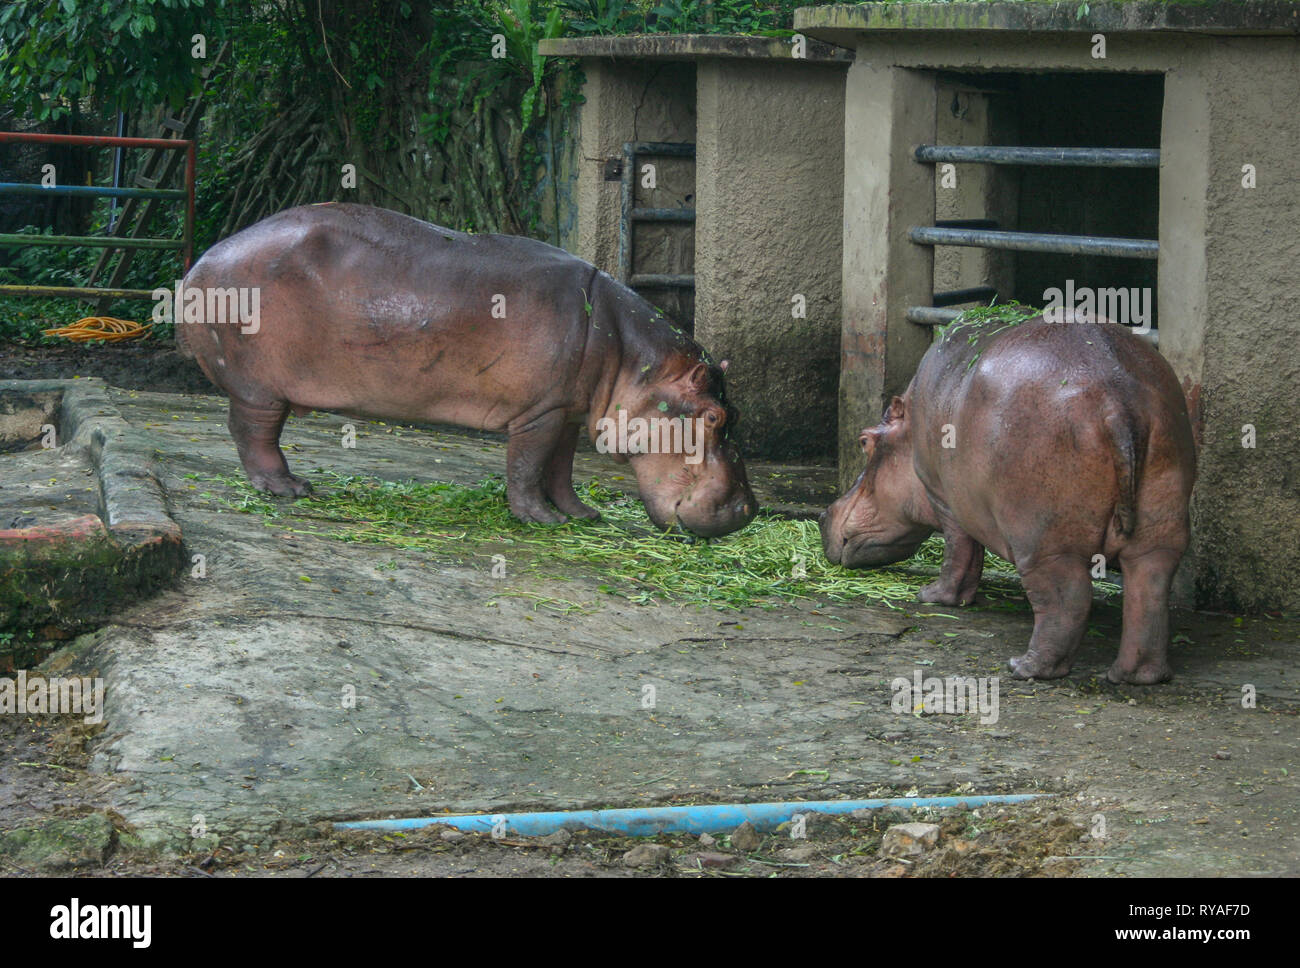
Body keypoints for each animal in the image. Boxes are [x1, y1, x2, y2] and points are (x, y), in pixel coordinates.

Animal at [176, 203, 756, 537]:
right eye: (713, 417)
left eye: (734, 414)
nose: (748, 511)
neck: (632, 362)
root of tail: (201, 260)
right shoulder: (539, 414)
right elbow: (527, 468)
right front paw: (540, 520)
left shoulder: (568, 412)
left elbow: (562, 470)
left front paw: (583, 516)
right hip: (259, 388)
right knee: (253, 434)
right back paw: (289, 489)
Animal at [820, 312, 1196, 684]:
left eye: (865, 441)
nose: (824, 515)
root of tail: (1118, 400)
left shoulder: (945, 499)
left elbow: (959, 552)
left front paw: (932, 597)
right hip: (1157, 528)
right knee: (1148, 589)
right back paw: (1134, 676)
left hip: (1041, 540)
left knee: (1068, 597)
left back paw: (1025, 667)